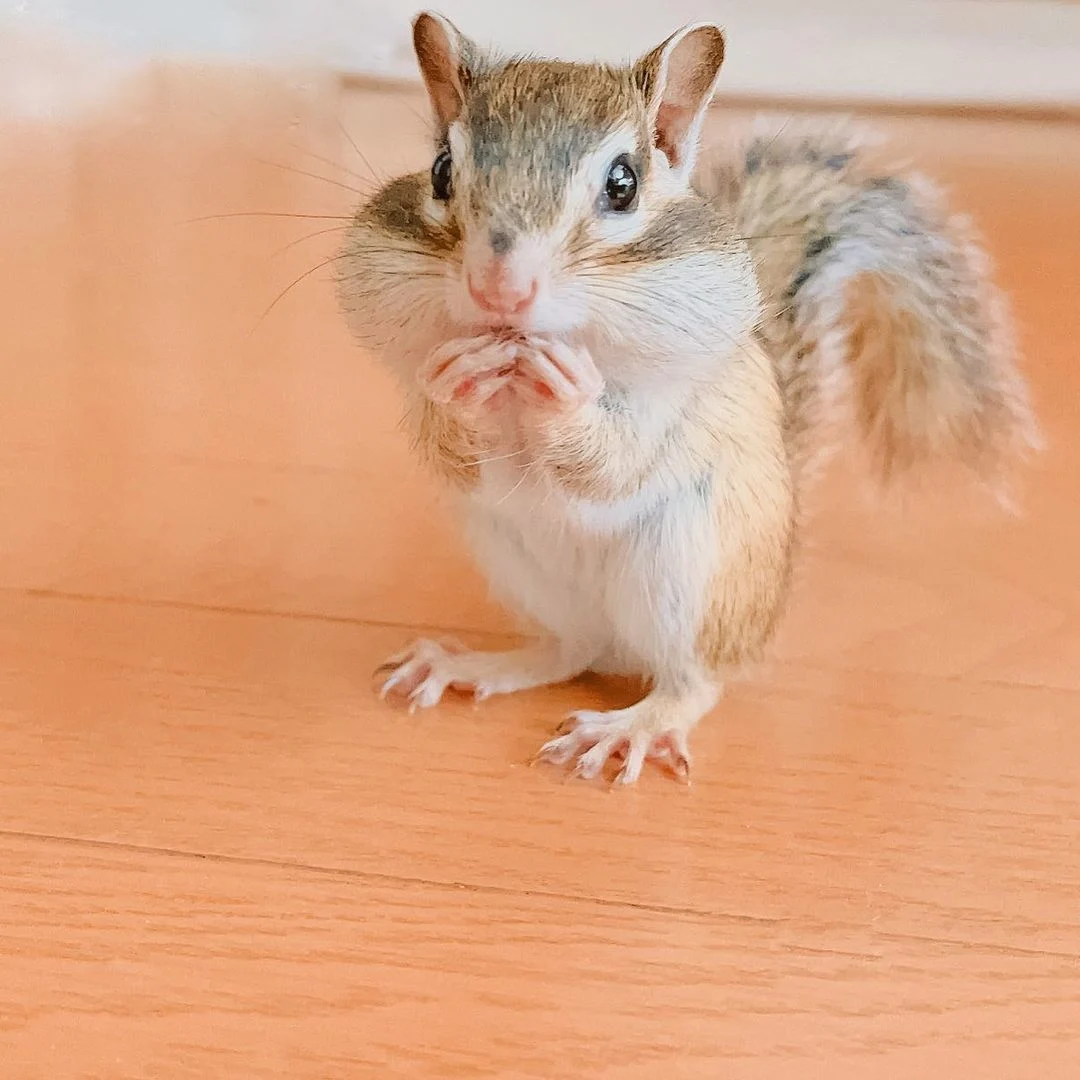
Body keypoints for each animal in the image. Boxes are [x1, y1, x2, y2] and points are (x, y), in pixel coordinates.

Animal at [337, 13, 1039, 785]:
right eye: (440, 170)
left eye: (623, 184)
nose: (501, 290)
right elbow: (448, 442)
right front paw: (458, 379)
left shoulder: (672, 403)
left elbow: (617, 460)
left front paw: (571, 391)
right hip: (517, 562)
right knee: (566, 651)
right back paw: (472, 664)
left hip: (686, 575)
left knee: (692, 680)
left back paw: (634, 727)